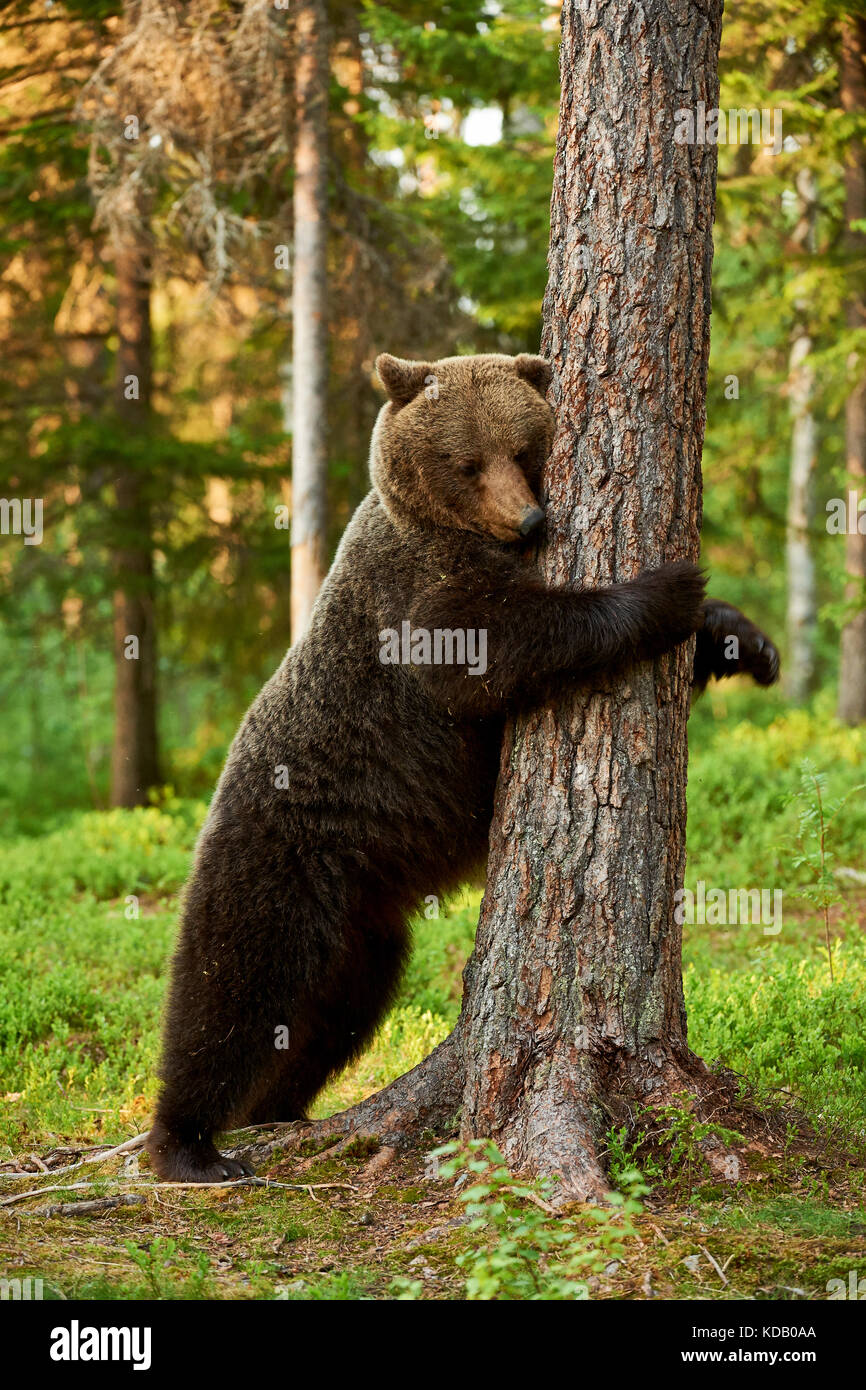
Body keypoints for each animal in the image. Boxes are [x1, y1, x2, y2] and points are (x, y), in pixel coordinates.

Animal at [146, 351, 780, 1182]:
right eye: (467, 461)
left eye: (524, 448)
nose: (531, 521)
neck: (456, 531)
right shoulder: (416, 591)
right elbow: (491, 650)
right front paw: (666, 591)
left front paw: (747, 642)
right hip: (278, 848)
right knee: (230, 985)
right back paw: (189, 1144)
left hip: (363, 914)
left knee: (334, 1009)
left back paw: (279, 1109)